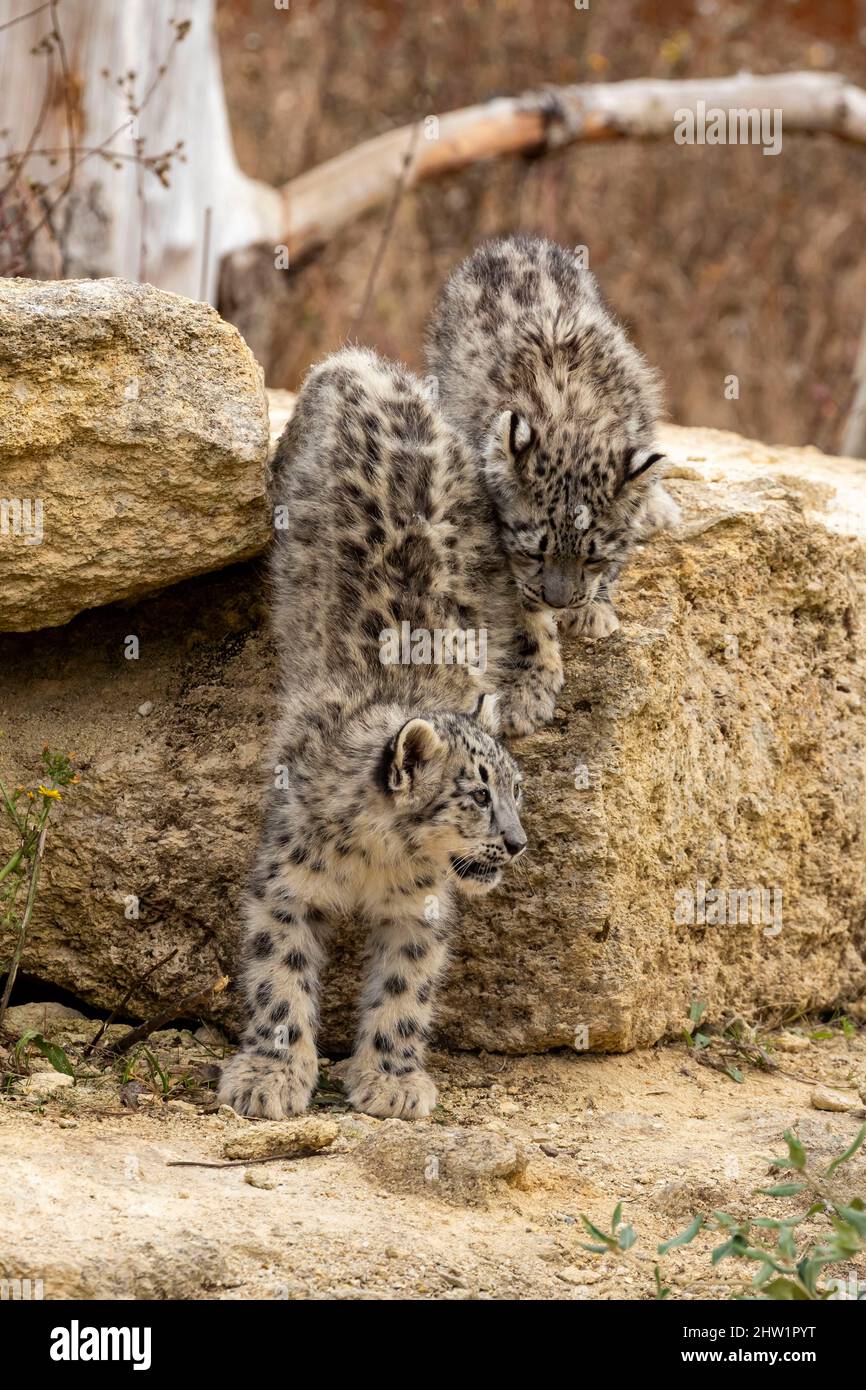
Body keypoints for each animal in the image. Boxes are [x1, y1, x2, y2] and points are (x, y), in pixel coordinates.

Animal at [217, 347, 529, 1122]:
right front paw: (270, 1076)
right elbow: (279, 978)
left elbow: (405, 990)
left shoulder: (420, 909)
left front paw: (390, 1079)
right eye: (478, 795)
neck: (378, 860)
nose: (517, 843)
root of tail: (360, 359)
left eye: (517, 790)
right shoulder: (287, 883)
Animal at [426, 233, 680, 735]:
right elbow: (521, 615)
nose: (560, 602)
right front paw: (526, 691)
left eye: (594, 556)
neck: (570, 412)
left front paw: (593, 610)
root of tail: (514, 240)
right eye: (532, 552)